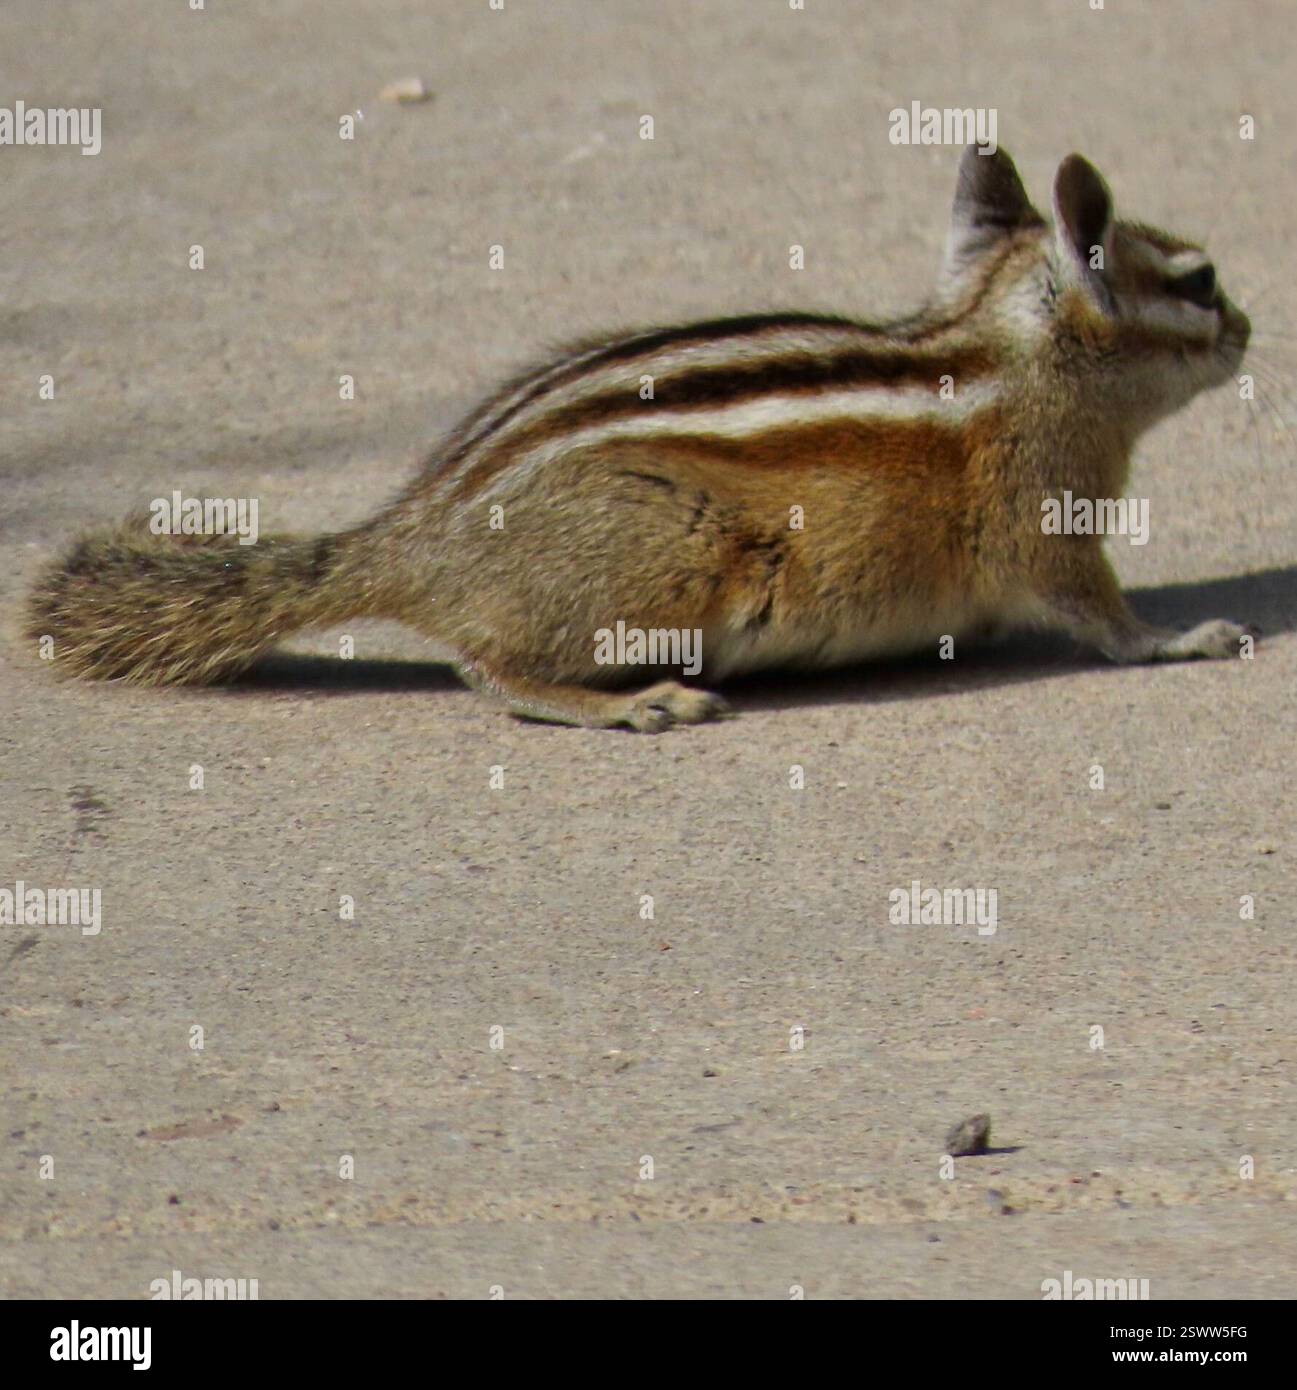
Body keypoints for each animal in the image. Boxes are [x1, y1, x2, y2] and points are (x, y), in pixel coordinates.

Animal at [27, 145, 1253, 731]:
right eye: (1198, 281)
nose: (1247, 328)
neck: (1008, 357)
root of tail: (417, 539)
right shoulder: (1043, 515)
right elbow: (1101, 615)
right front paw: (1183, 639)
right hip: (671, 561)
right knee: (487, 668)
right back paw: (629, 702)